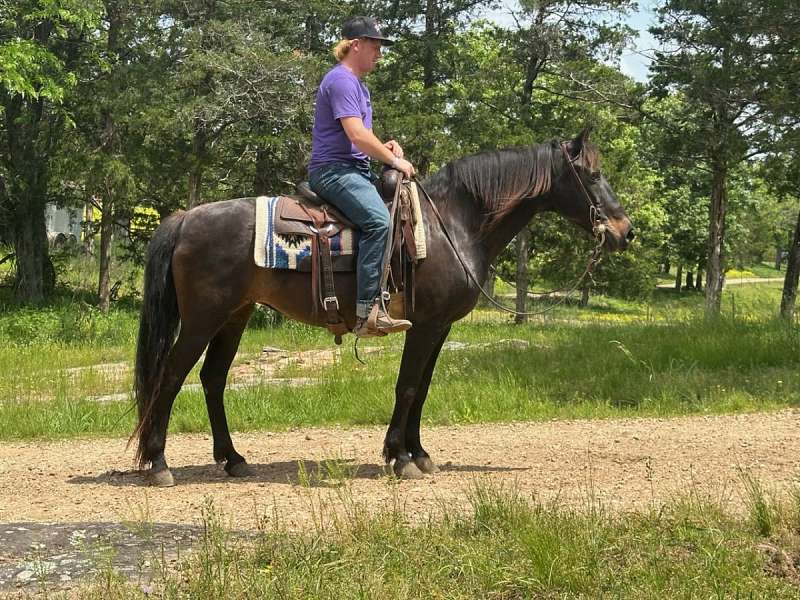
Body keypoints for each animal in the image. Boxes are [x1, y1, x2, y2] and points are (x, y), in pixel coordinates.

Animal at [132, 129, 635, 486]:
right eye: (592, 176)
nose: (625, 231)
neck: (453, 223)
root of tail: (186, 217)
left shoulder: (439, 327)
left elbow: (423, 388)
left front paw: (419, 453)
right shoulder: (424, 325)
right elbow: (408, 387)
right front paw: (400, 456)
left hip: (234, 316)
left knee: (212, 380)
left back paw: (233, 459)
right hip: (202, 319)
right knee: (170, 377)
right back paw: (158, 463)